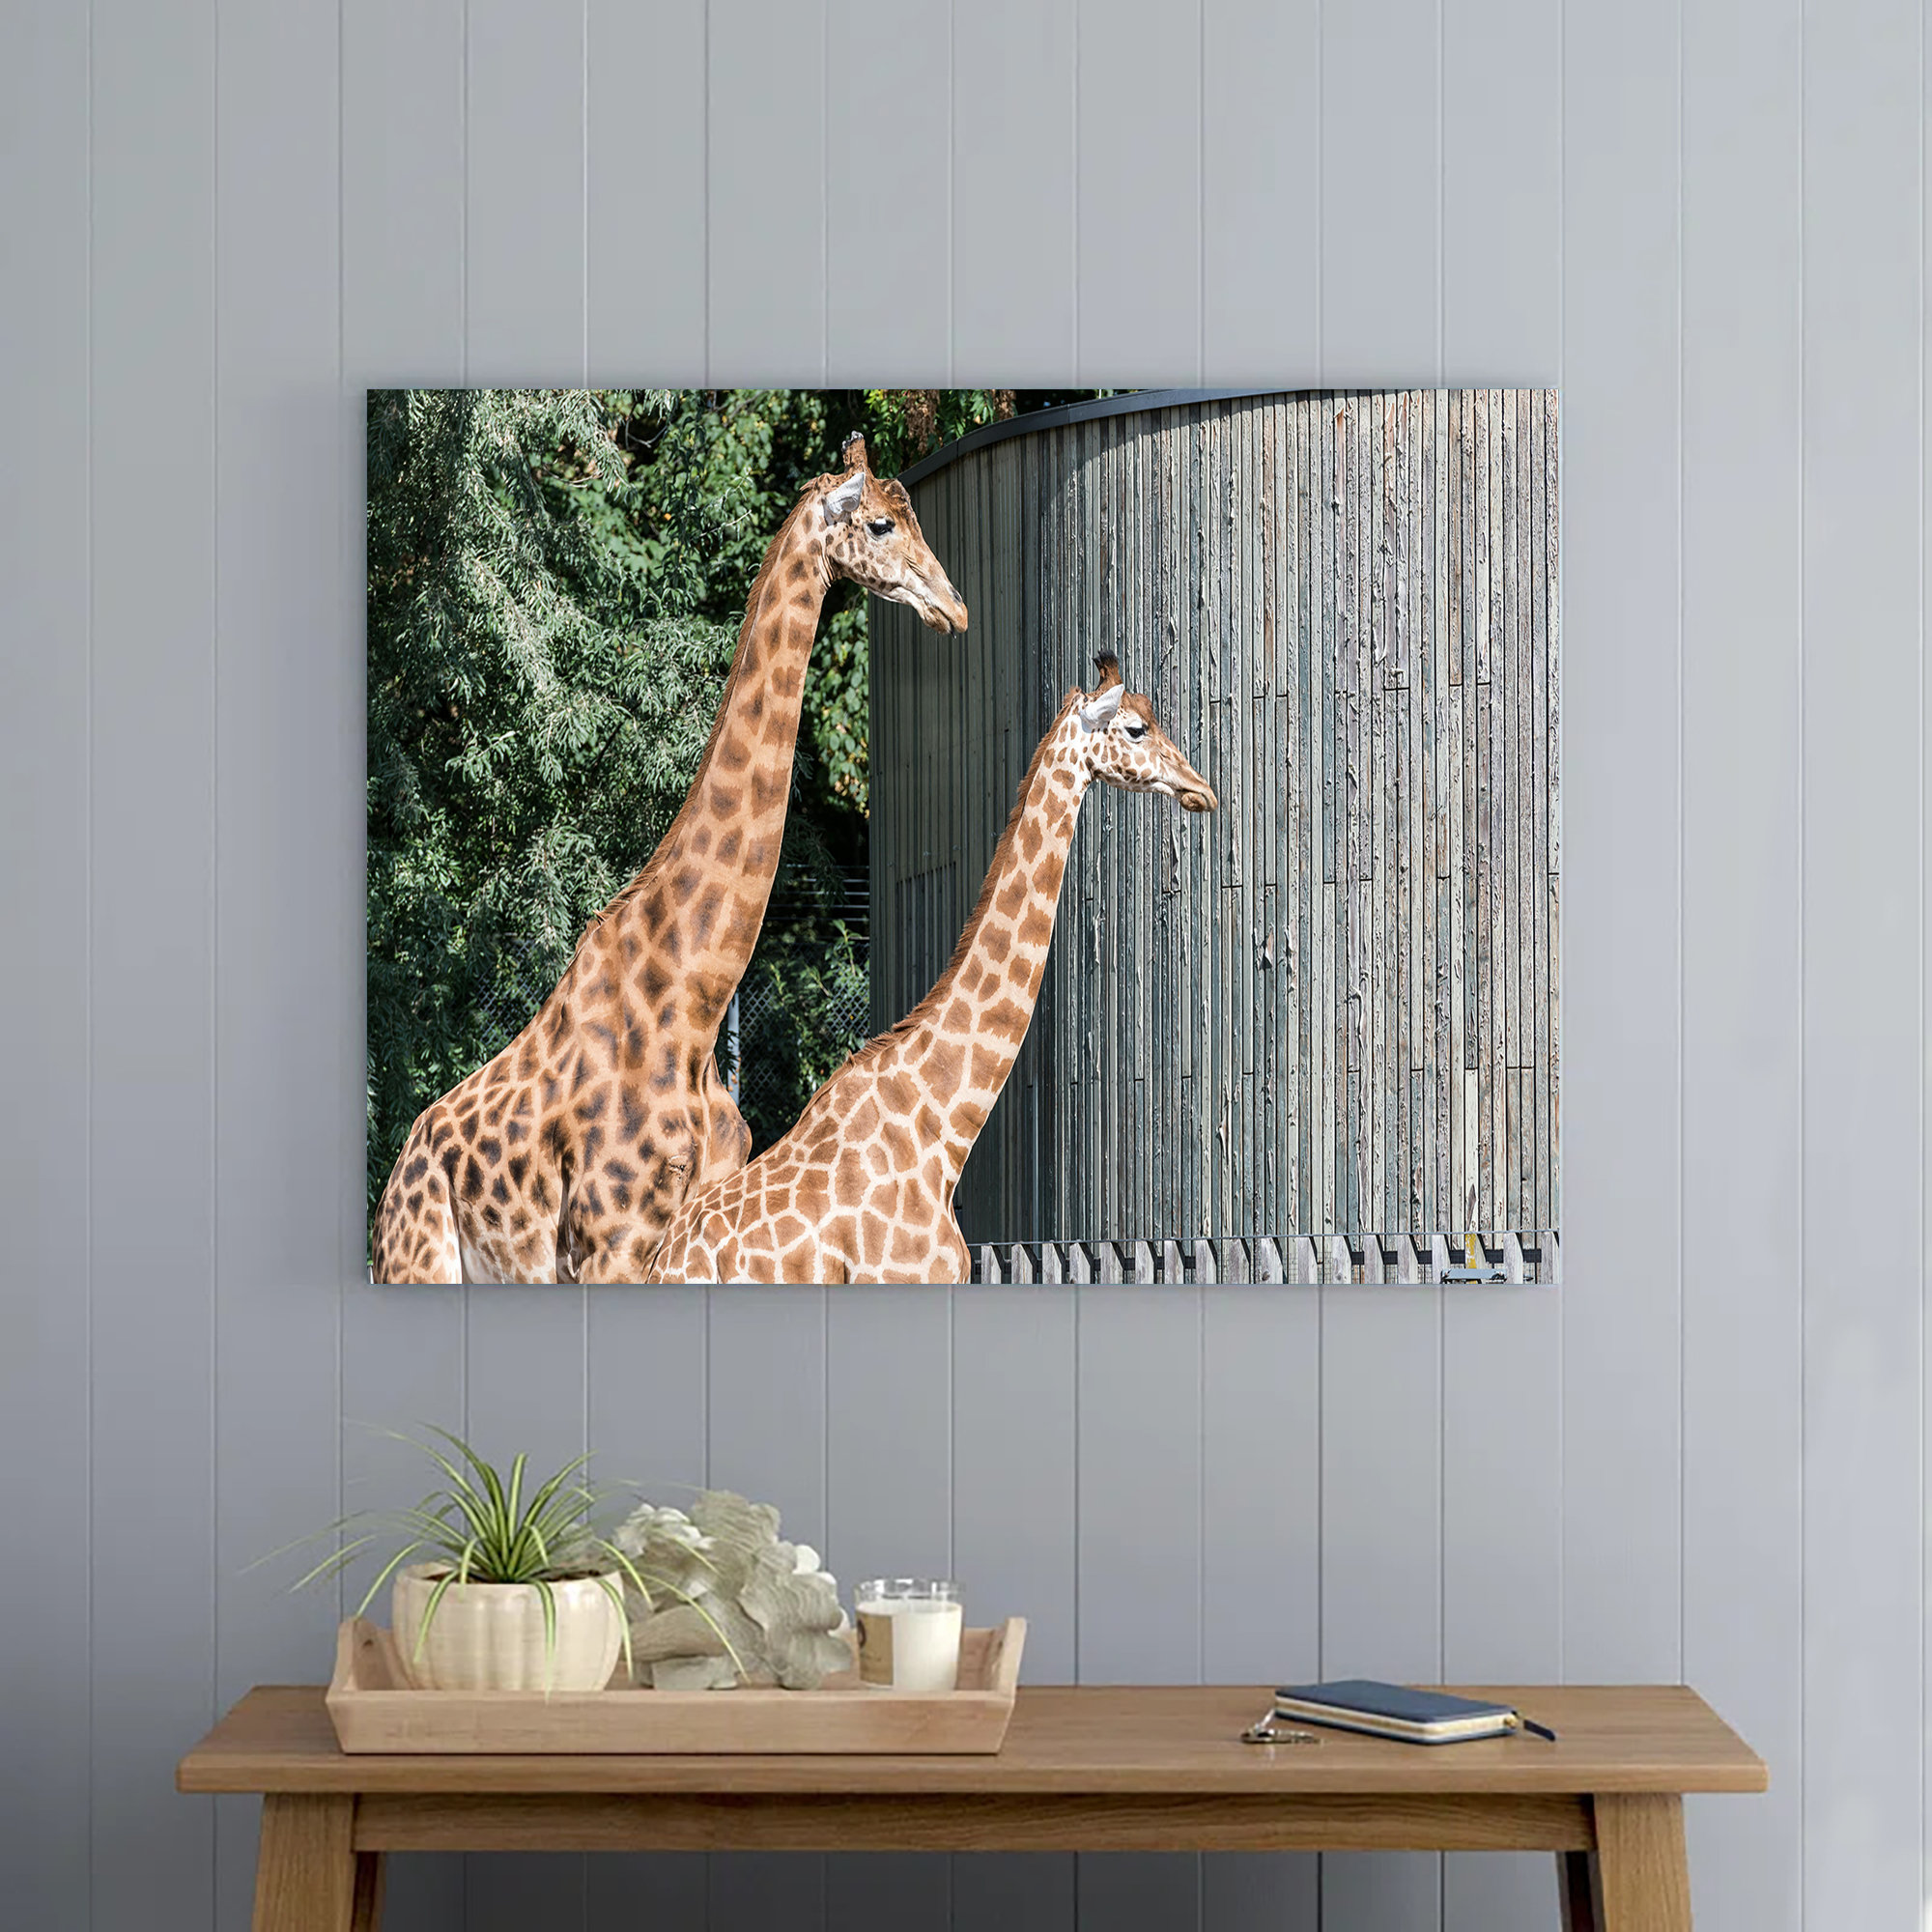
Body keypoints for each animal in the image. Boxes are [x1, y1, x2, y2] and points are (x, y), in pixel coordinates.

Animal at [371, 434, 968, 1284]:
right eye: (882, 524)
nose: (953, 606)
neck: (694, 999)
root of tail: (391, 1187)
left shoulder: (695, 1223)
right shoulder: (611, 1238)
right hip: (420, 1261)